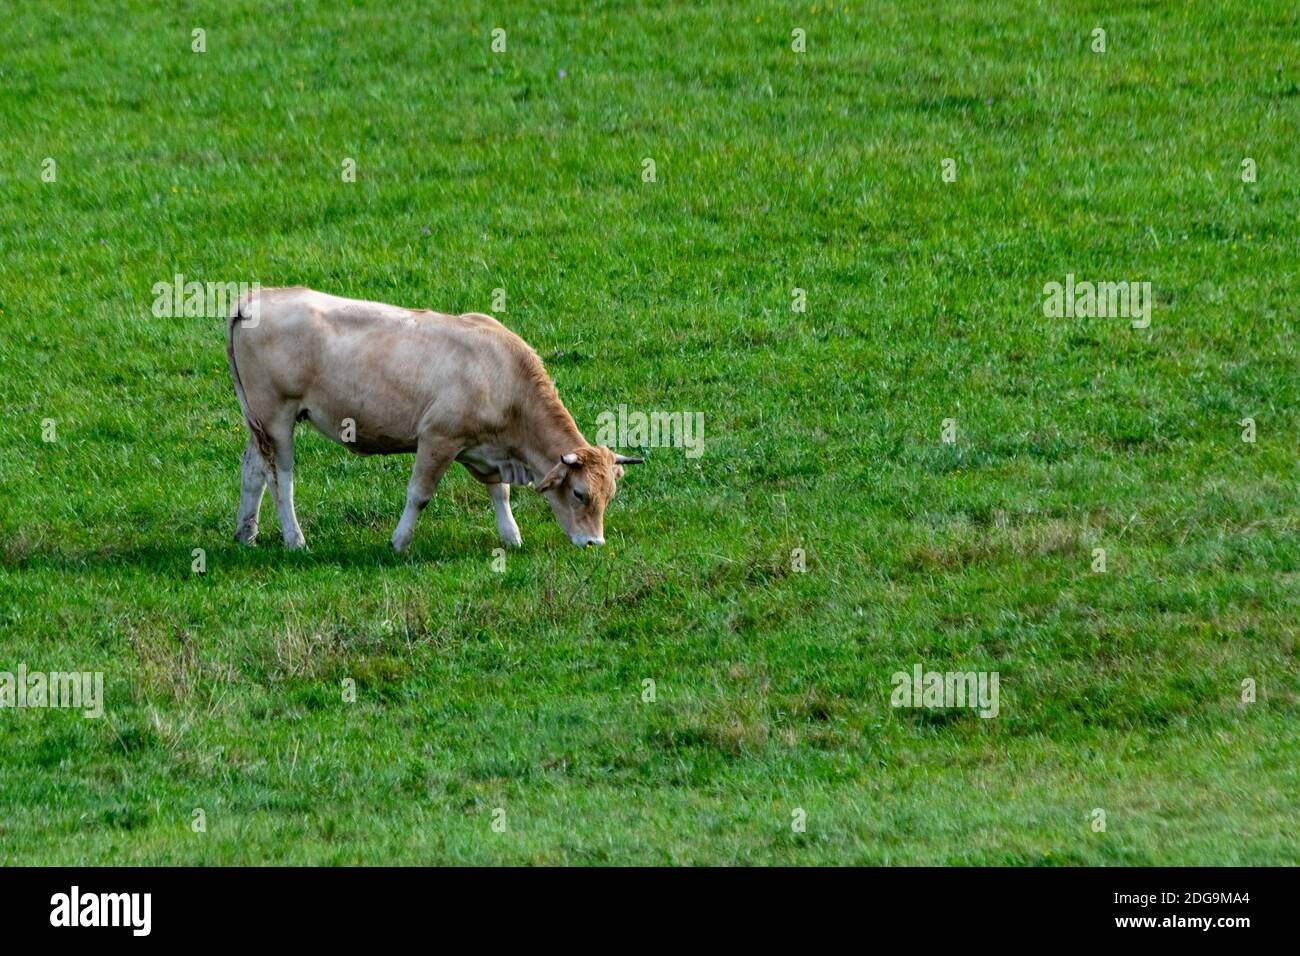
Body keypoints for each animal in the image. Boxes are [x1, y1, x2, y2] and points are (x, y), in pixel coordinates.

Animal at [225, 287, 642, 552]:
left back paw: (246, 534)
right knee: (279, 478)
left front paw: (510, 536)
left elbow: (499, 491)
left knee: (252, 468)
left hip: (258, 420)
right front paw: (399, 542)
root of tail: (258, 296)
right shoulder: (439, 438)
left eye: (609, 495)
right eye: (579, 493)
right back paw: (295, 540)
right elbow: (420, 494)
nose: (594, 543)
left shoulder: (487, 449)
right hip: (277, 417)